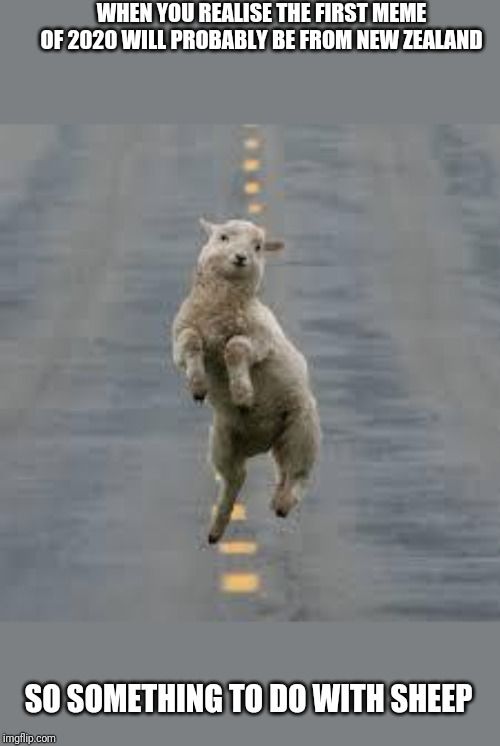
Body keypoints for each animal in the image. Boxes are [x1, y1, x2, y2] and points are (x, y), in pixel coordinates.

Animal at [171, 218, 321, 544]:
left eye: (258, 246)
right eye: (223, 237)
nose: (241, 258)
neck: (219, 306)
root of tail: (260, 443)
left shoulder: (260, 341)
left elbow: (235, 348)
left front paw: (242, 393)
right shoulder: (180, 340)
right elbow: (191, 343)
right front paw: (198, 387)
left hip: (302, 429)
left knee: (298, 473)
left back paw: (283, 503)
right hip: (223, 441)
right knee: (236, 479)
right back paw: (216, 529)